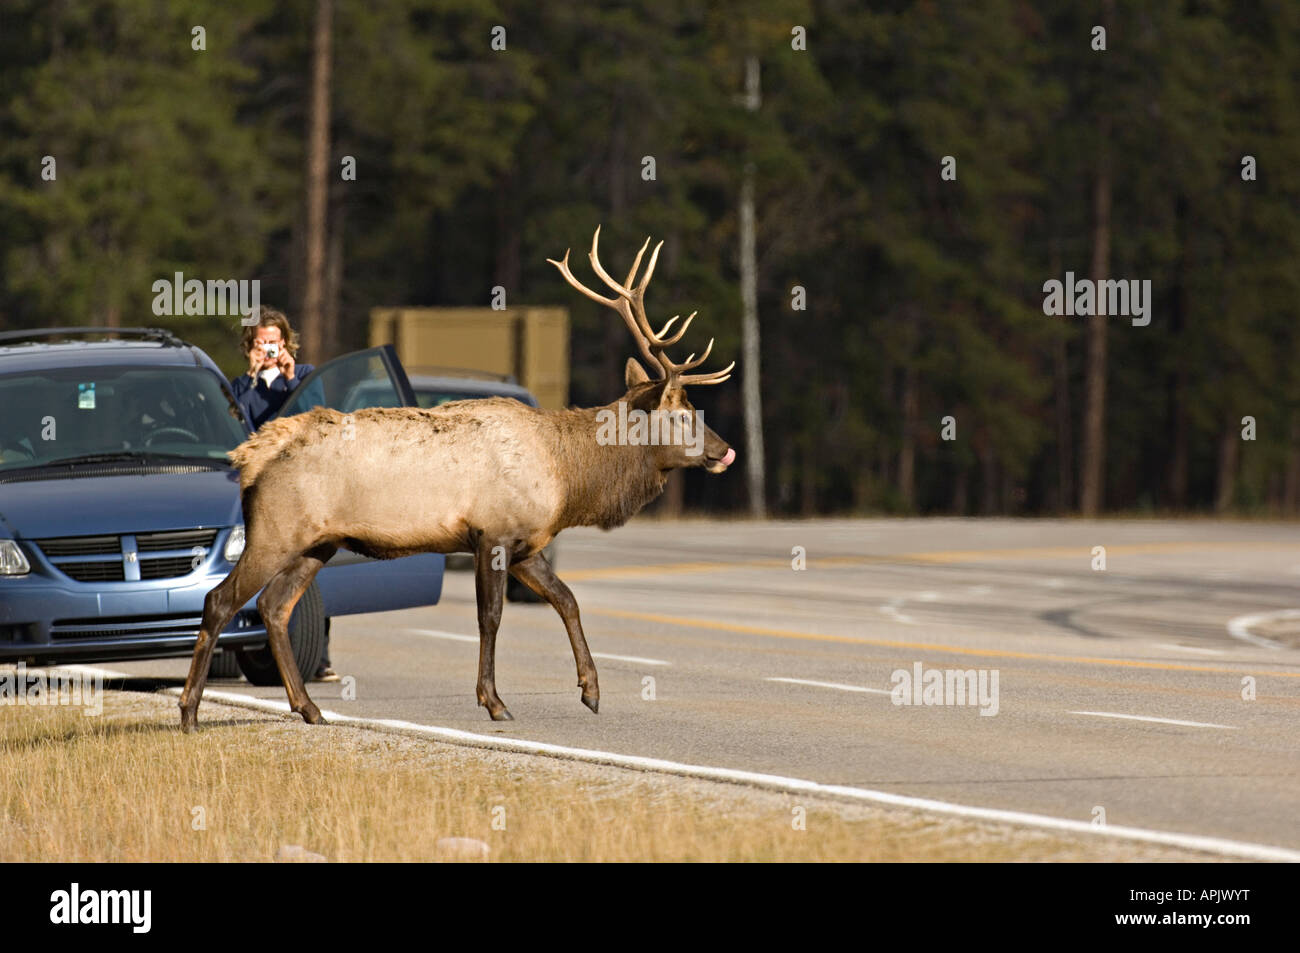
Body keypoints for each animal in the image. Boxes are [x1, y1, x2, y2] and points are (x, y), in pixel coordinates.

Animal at [178, 226, 736, 731]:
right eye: (682, 413)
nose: (725, 451)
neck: (566, 477)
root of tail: (252, 456)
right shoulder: (493, 533)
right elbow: (491, 618)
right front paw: (494, 702)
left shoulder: (526, 543)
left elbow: (568, 601)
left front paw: (591, 691)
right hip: (274, 531)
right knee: (220, 600)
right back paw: (189, 713)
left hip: (317, 543)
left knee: (274, 606)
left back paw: (309, 708)